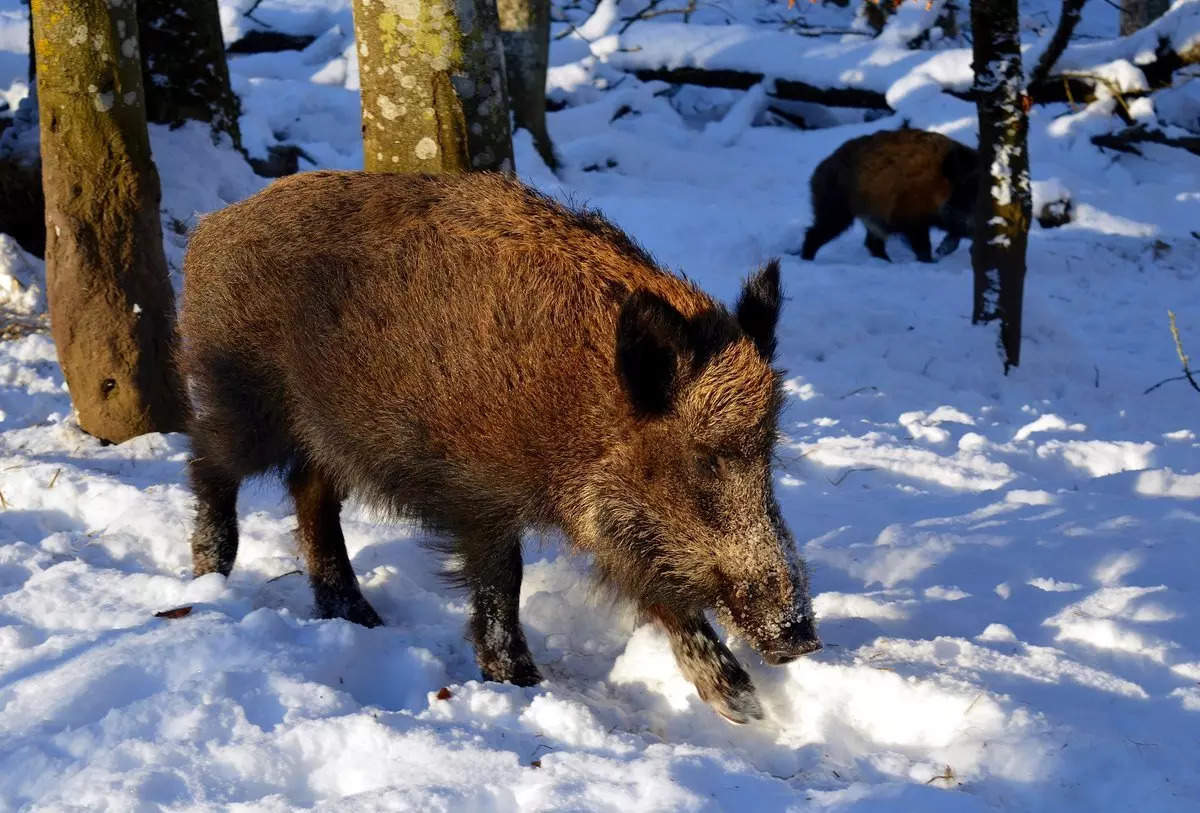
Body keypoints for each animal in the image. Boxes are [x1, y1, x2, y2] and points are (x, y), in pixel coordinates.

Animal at [177, 170, 820, 724]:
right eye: (705, 459)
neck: (580, 406)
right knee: (208, 458)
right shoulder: (479, 495)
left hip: (325, 433)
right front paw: (520, 684)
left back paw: (359, 619)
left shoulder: (623, 528)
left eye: (767, 452)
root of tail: (209, 228)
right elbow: (503, 581)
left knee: (308, 491)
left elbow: (658, 588)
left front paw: (743, 706)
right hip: (248, 400)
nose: (802, 638)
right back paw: (210, 575)